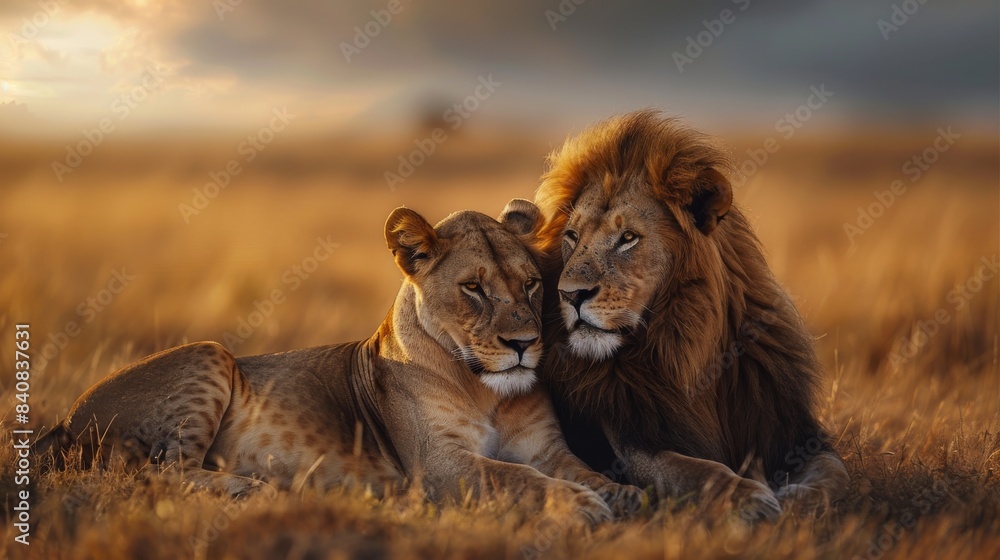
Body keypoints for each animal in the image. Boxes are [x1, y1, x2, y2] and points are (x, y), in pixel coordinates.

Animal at [37, 199, 644, 524]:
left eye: (531, 283)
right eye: (473, 288)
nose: (523, 343)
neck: (485, 388)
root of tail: (65, 418)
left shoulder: (546, 449)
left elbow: (584, 471)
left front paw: (632, 496)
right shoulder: (439, 465)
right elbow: (516, 479)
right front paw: (582, 506)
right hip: (209, 354)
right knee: (159, 475)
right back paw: (255, 490)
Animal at [533, 110, 849, 521]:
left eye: (628, 238)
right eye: (571, 236)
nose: (570, 295)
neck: (686, 348)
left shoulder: (791, 432)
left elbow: (837, 474)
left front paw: (797, 499)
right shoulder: (634, 446)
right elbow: (702, 470)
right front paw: (751, 497)